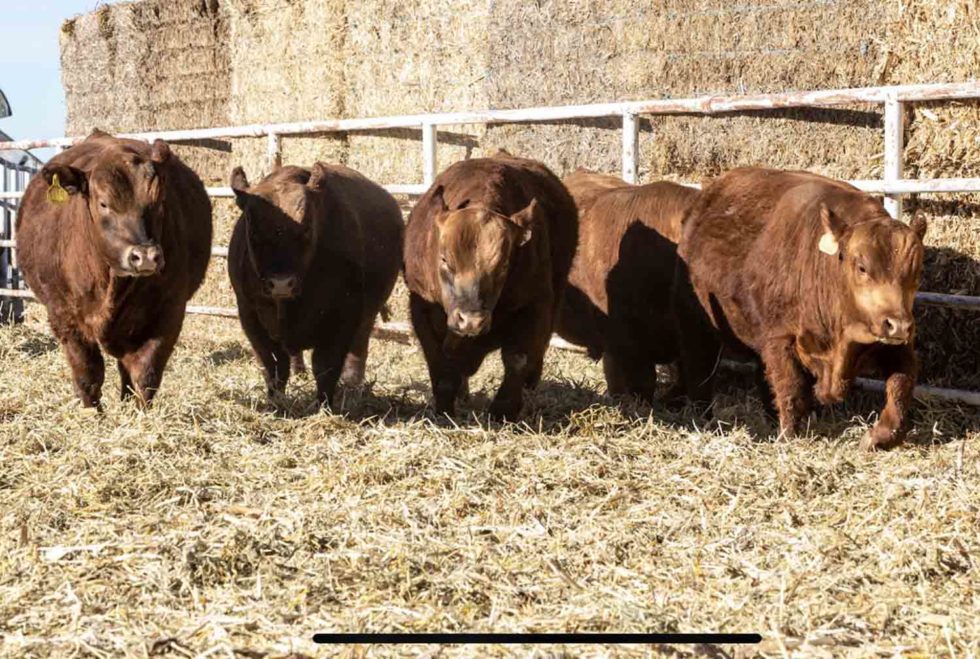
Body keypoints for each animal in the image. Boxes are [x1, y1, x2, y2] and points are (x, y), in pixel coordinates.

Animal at [15, 130, 212, 407]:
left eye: (159, 200)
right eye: (103, 204)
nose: (146, 256)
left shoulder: (168, 313)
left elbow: (145, 376)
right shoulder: (64, 317)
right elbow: (88, 376)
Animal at [227, 163, 403, 407]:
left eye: (307, 229)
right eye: (253, 231)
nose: (281, 284)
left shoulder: (343, 315)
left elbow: (326, 366)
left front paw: (323, 405)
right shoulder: (249, 315)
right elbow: (273, 366)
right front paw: (275, 403)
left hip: (368, 314)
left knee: (357, 352)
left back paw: (353, 389)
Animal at [403, 151, 578, 420]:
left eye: (504, 264)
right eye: (444, 259)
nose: (472, 320)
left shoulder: (535, 306)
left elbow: (518, 358)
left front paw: (503, 410)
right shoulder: (422, 312)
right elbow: (440, 368)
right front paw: (444, 410)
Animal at [675, 167, 927, 450]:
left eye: (917, 271)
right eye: (862, 267)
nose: (898, 325)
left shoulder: (896, 345)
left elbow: (901, 386)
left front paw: (878, 436)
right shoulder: (780, 340)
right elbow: (791, 388)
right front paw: (788, 436)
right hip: (695, 320)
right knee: (699, 367)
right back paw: (703, 417)